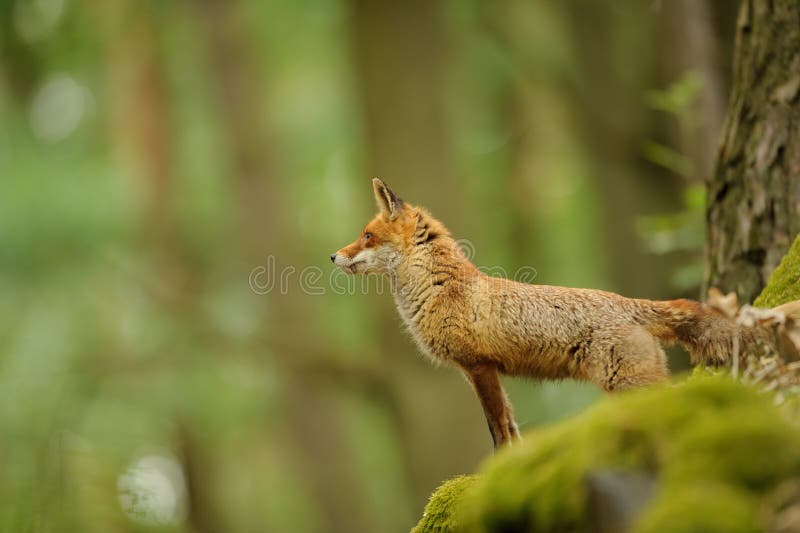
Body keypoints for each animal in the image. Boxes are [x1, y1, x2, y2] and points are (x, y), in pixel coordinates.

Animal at [331, 178, 800, 448]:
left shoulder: (479, 367)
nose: (333, 256)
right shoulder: (482, 371)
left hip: (628, 383)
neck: (442, 290)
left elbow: (498, 431)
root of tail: (629, 303)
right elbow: (513, 426)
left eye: (367, 235)